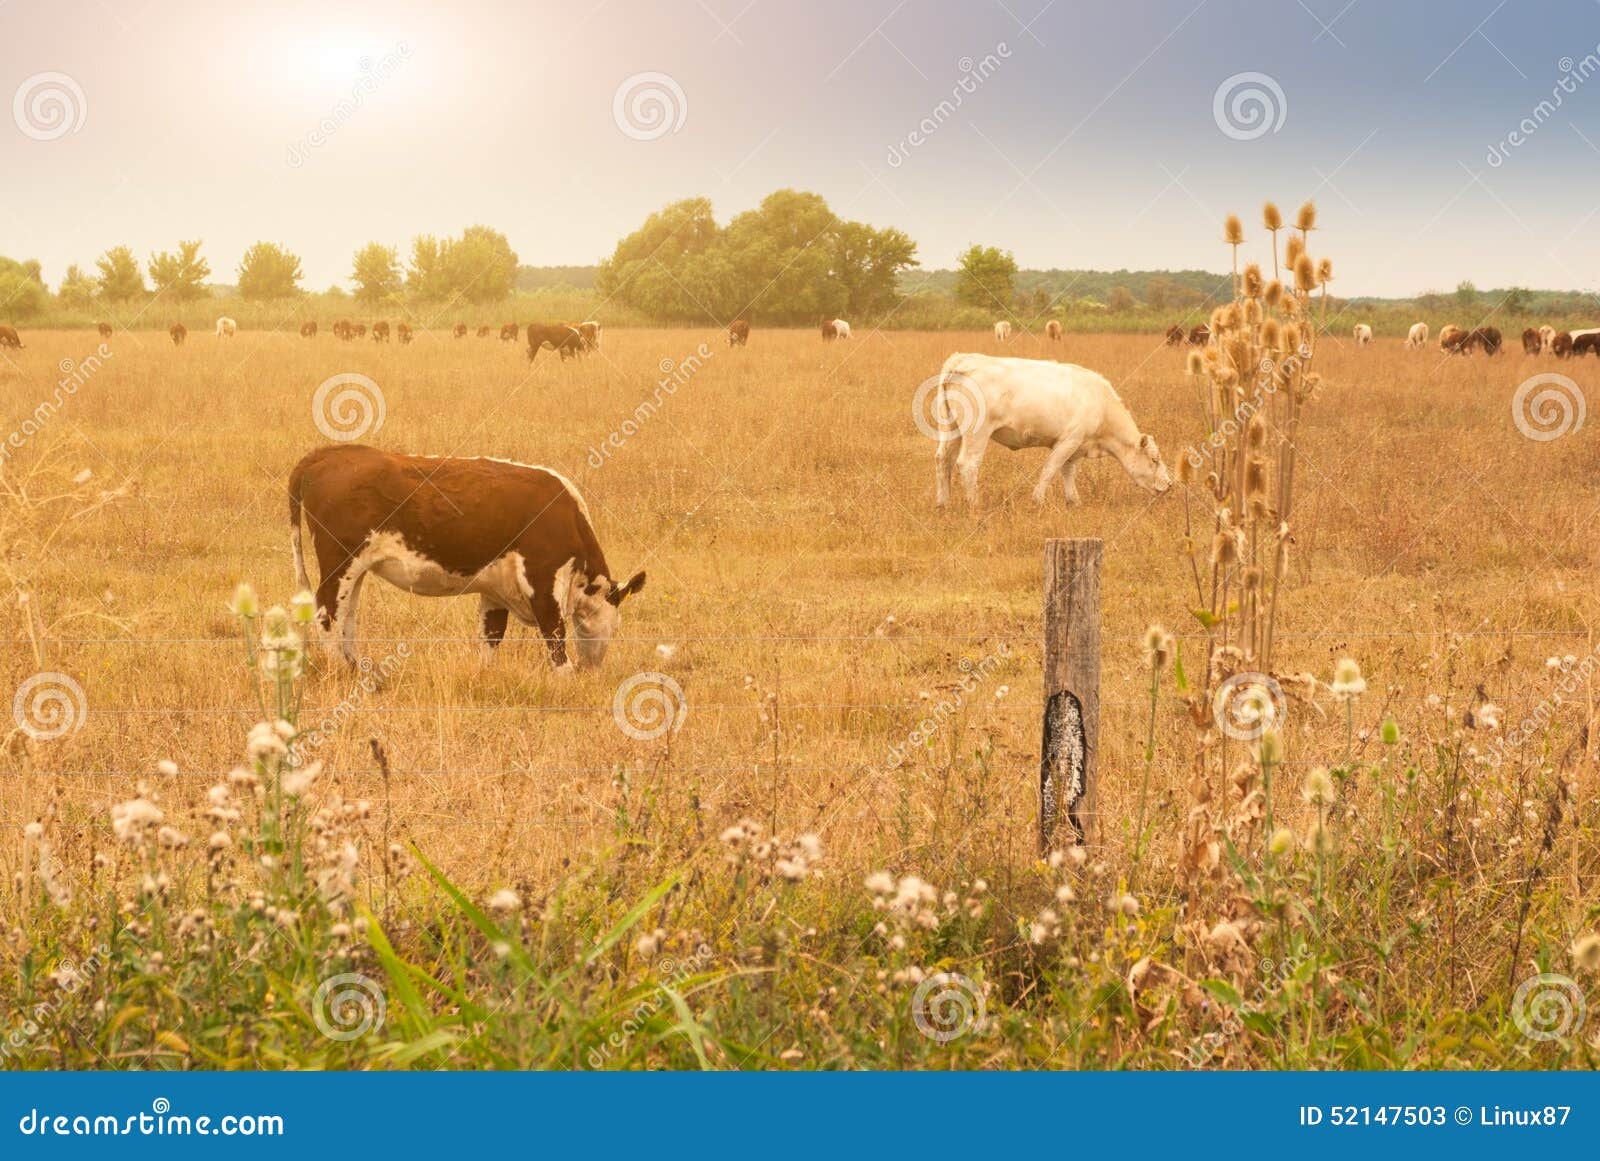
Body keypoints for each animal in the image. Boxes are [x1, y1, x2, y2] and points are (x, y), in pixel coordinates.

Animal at [288, 445, 645, 671]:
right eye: (616, 621)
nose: (592, 668)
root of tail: (326, 454)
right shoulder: (542, 580)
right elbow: (555, 636)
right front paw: (566, 677)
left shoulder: (496, 590)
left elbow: (491, 637)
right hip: (340, 559)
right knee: (327, 609)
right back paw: (339, 667)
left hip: (356, 566)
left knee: (347, 611)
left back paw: (355, 665)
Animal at [932, 353, 1172, 509]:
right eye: (1154, 459)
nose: (1169, 485)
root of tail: (965, 358)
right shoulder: (1069, 440)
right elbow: (1050, 469)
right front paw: (1038, 501)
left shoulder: (1077, 446)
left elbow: (1068, 471)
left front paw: (1074, 501)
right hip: (977, 432)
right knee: (968, 463)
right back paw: (975, 504)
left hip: (950, 427)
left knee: (944, 459)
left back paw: (943, 503)